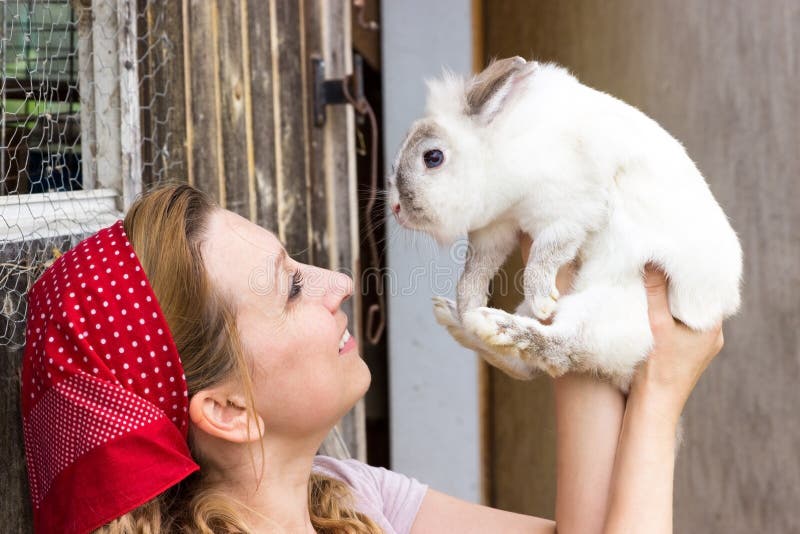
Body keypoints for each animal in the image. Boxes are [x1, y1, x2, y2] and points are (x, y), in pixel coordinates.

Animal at [386, 57, 742, 391]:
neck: (499, 152)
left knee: (563, 350)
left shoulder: (571, 210)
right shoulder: (495, 230)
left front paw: (542, 298)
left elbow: (545, 254)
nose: (395, 207)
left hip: (612, 307)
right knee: (528, 366)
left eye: (433, 157)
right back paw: (460, 319)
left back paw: (497, 326)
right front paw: (466, 303)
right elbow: (475, 268)